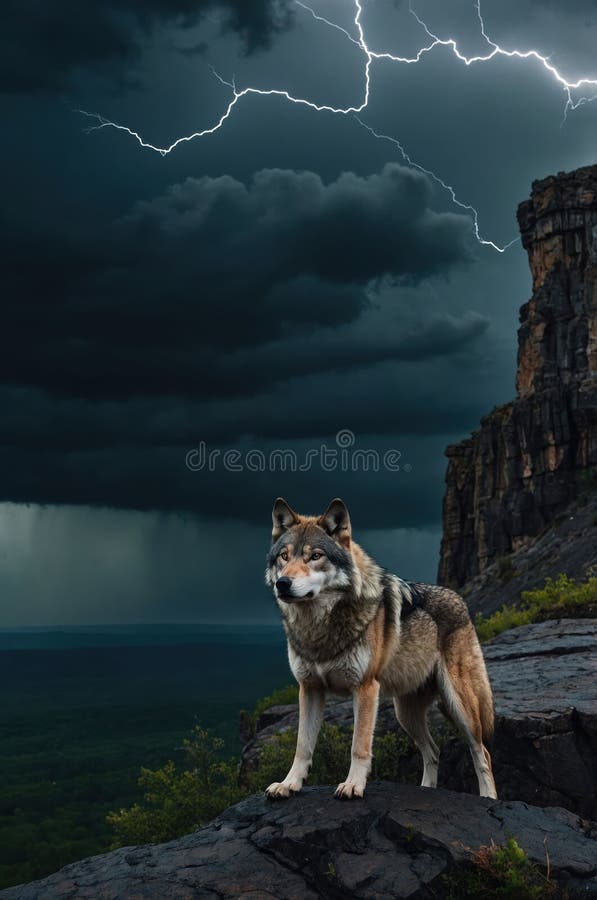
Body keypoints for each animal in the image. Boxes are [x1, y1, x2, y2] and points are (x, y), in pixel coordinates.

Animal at [264, 497, 497, 800]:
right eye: (284, 556)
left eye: (315, 556)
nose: (283, 584)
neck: (319, 628)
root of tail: (460, 600)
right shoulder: (310, 688)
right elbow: (302, 745)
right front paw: (288, 784)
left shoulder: (365, 688)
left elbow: (359, 745)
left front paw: (353, 785)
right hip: (405, 714)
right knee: (433, 751)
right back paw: (425, 790)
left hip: (459, 706)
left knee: (482, 752)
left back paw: (488, 798)